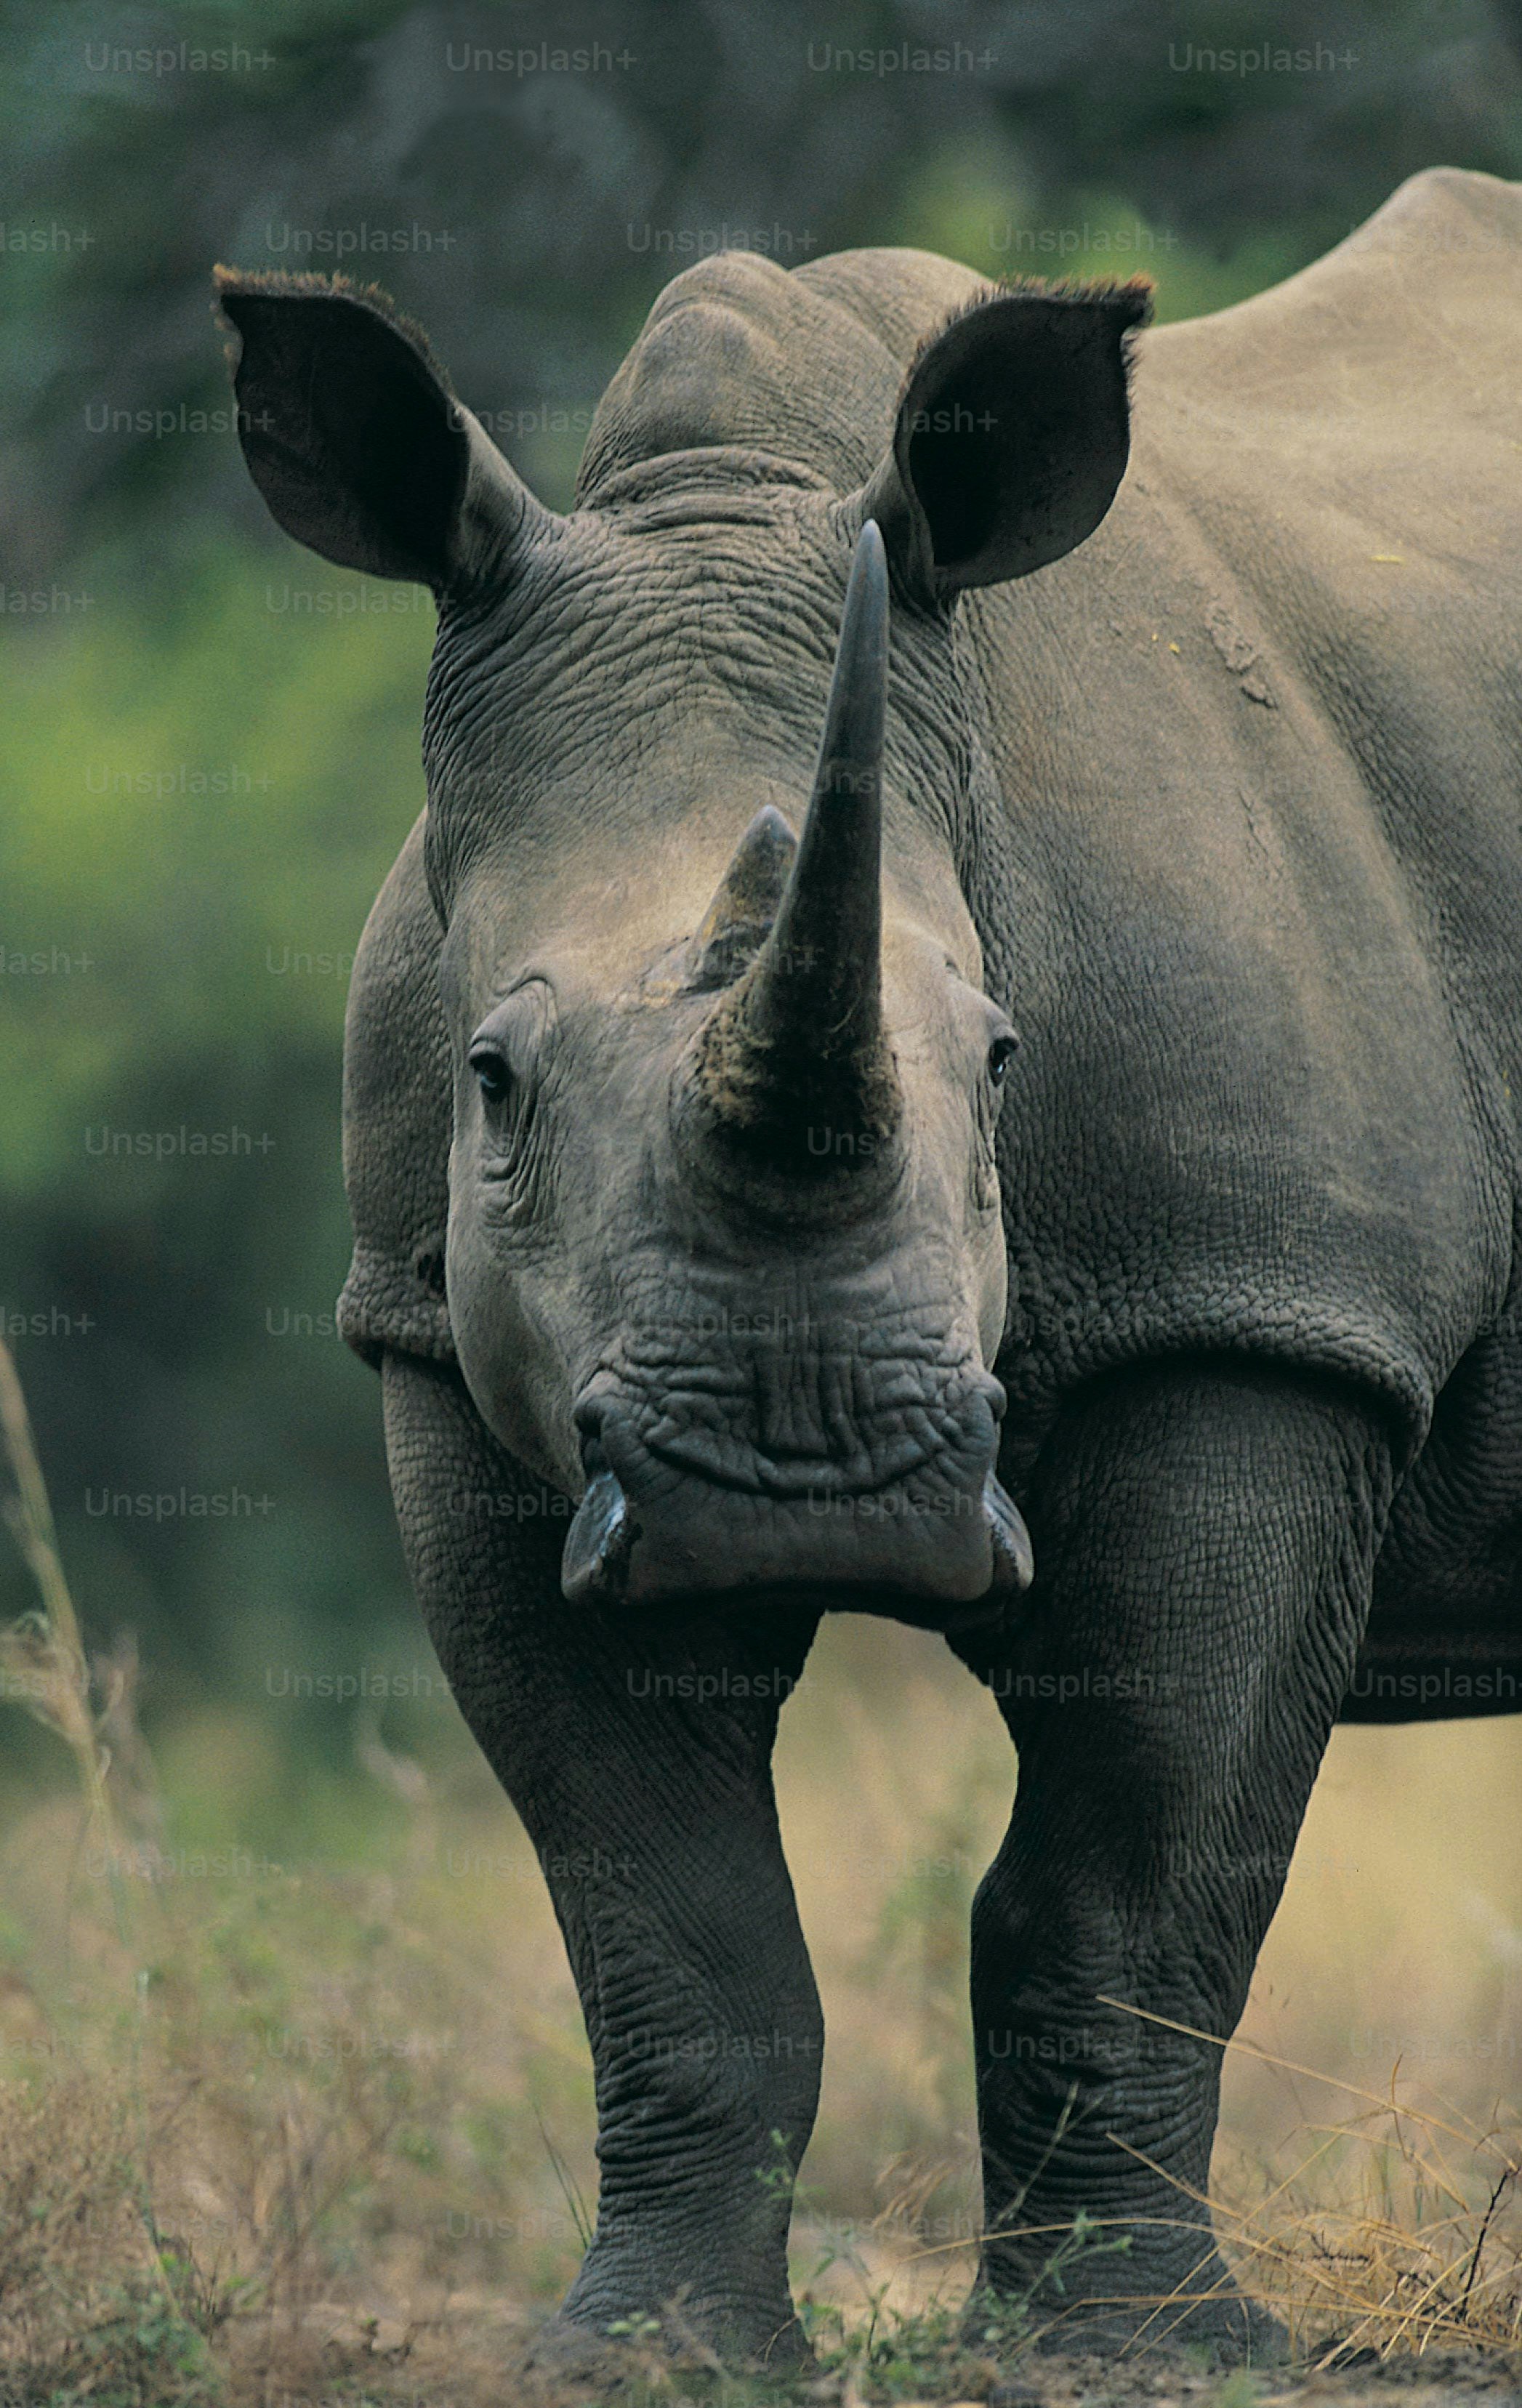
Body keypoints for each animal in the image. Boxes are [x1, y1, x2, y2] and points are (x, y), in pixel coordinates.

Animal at [215, 163, 1522, 2371]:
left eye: (1000, 1062)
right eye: (491, 1082)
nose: (796, 1477)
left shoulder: (1258, 1310)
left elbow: (1135, 1863)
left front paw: (1132, 2360)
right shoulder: (439, 1350)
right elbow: (665, 1914)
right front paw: (645, 2362)